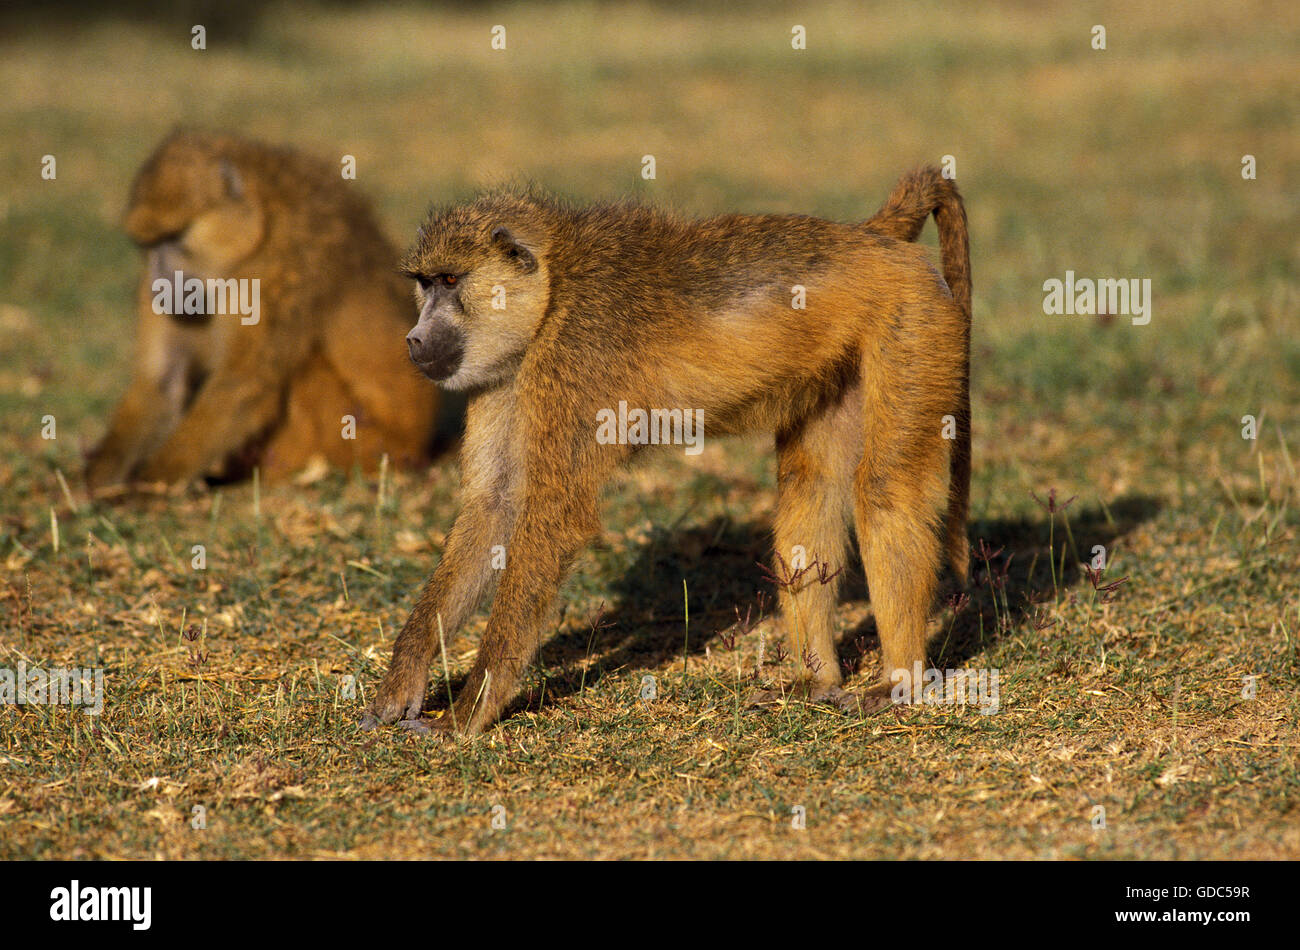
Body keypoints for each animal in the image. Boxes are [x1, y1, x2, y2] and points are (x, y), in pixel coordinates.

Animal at [84, 130, 441, 492]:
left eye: (176, 238)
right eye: (148, 245)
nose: (159, 280)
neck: (258, 226)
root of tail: (417, 447)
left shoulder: (280, 269)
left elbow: (244, 382)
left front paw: (149, 484)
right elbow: (160, 383)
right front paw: (95, 480)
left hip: (369, 443)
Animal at [362, 165, 971, 738]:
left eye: (450, 280)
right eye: (424, 284)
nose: (414, 340)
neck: (553, 292)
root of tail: (870, 236)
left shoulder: (574, 355)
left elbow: (554, 515)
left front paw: (470, 711)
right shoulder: (505, 377)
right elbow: (494, 506)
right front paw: (402, 685)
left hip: (911, 320)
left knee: (884, 490)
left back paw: (900, 681)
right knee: (810, 490)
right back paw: (815, 680)